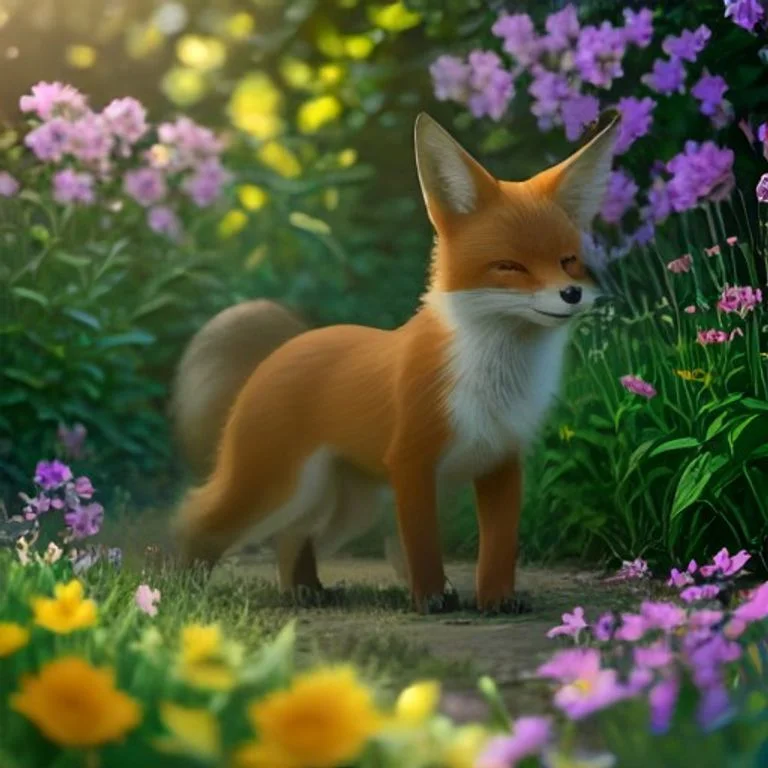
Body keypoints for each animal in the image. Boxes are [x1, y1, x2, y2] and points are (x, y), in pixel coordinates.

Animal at [173, 110, 619, 613]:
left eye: (568, 261)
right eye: (510, 266)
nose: (572, 294)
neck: (494, 377)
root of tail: (289, 344)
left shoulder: (502, 461)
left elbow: (500, 547)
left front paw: (496, 600)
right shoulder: (411, 461)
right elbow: (421, 544)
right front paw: (430, 598)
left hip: (347, 506)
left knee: (292, 539)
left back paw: (305, 589)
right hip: (278, 490)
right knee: (198, 516)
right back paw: (177, 591)